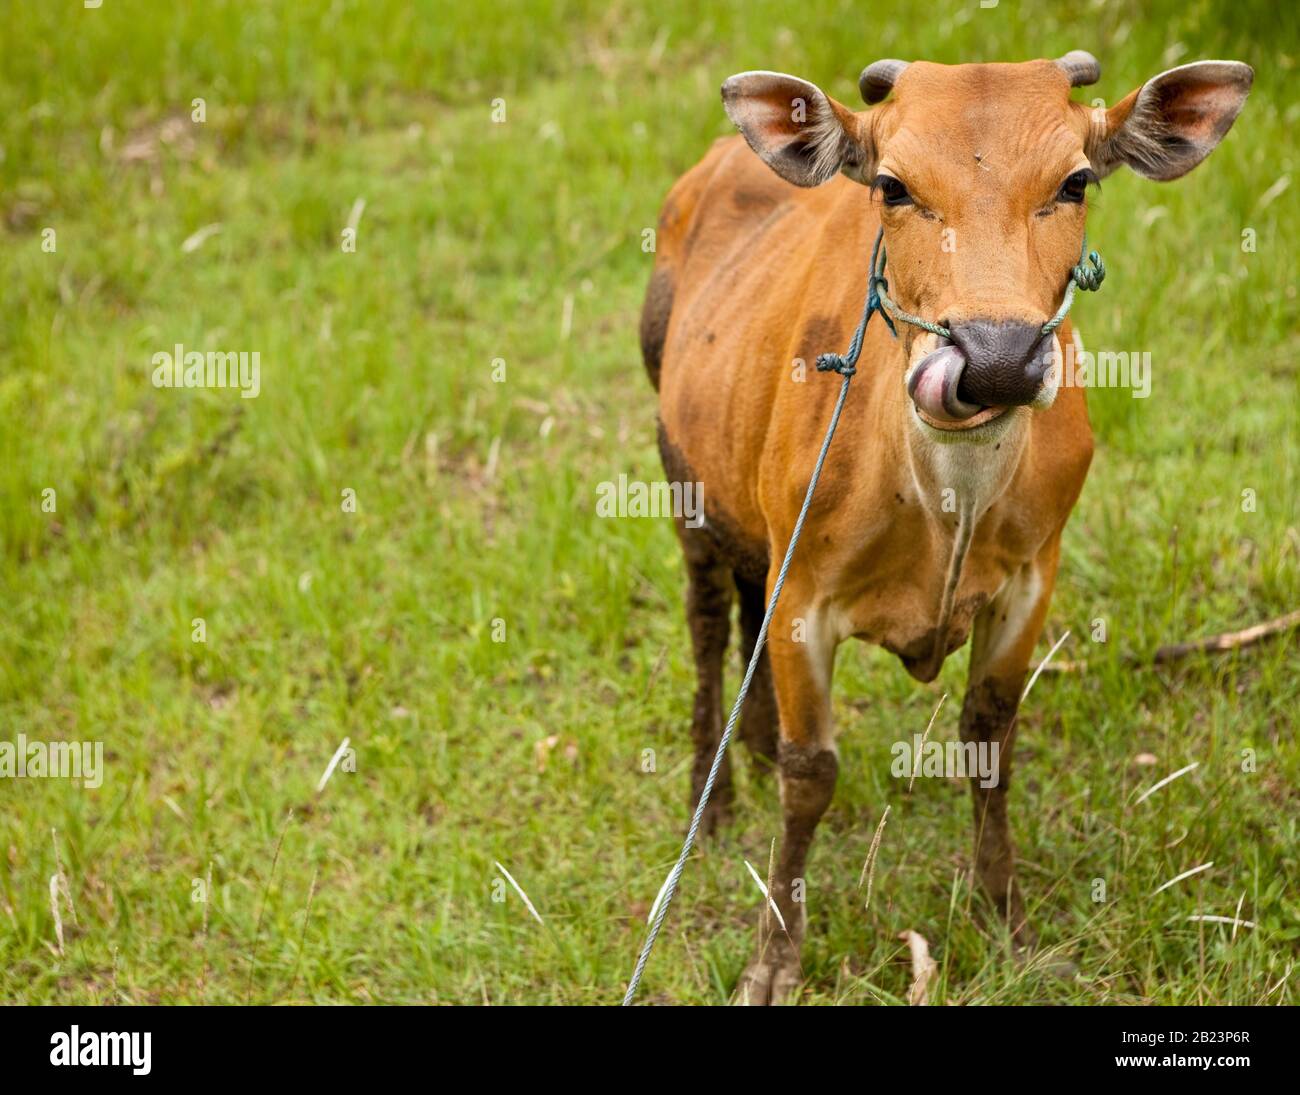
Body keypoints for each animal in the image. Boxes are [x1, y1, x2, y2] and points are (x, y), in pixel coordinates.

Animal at [641, 51, 1252, 1004]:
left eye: (1076, 180)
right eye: (892, 186)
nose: (996, 357)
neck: (939, 514)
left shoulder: (1034, 573)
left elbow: (989, 739)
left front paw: (1010, 926)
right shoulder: (804, 586)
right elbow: (814, 772)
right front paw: (773, 957)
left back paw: (755, 745)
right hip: (683, 476)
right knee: (707, 620)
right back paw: (718, 799)